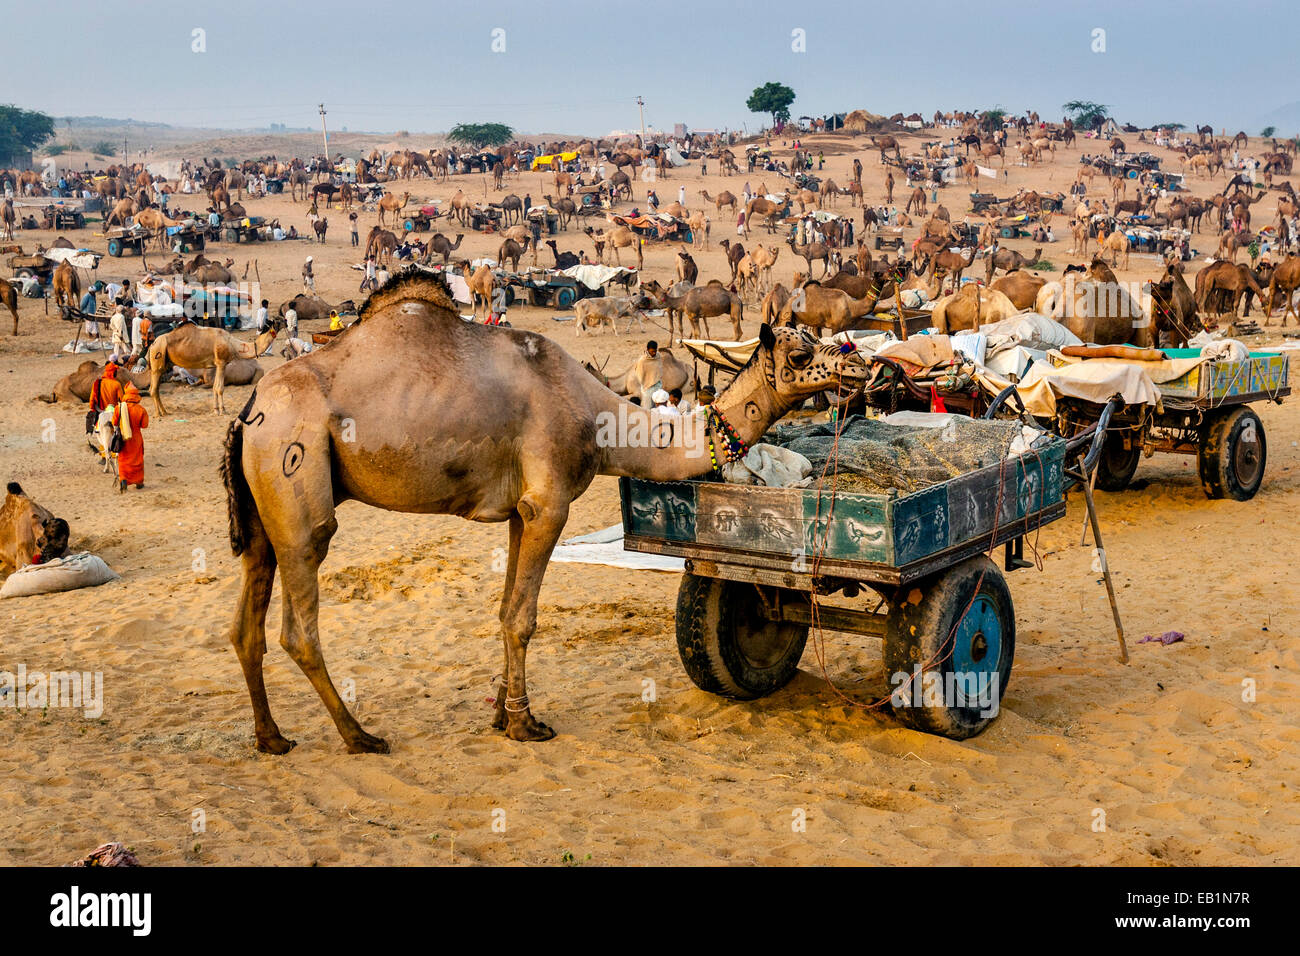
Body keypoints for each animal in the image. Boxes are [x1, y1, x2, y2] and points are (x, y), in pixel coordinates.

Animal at [148, 323, 279, 415]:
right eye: (278, 321)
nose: (284, 321)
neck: (233, 345)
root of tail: (152, 345)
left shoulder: (218, 365)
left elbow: (215, 387)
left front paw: (216, 410)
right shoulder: (221, 362)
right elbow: (219, 388)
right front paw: (223, 410)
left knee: (155, 388)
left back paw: (164, 411)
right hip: (157, 358)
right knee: (153, 389)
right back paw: (159, 414)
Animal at [220, 272, 866, 752]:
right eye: (801, 350)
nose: (858, 362)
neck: (601, 420)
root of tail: (249, 412)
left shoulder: (517, 510)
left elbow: (506, 608)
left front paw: (502, 714)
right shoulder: (549, 502)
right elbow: (523, 618)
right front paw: (526, 724)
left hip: (259, 512)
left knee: (246, 621)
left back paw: (271, 737)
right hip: (294, 473)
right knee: (299, 620)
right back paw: (359, 736)